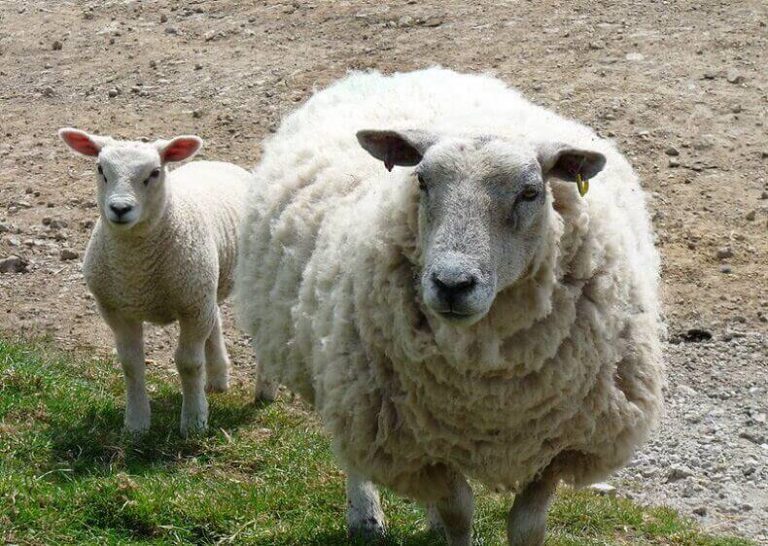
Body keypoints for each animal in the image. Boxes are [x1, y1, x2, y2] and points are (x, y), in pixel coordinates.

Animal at [59, 128, 260, 436]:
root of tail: (217, 162)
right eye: (100, 169)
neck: (136, 269)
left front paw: (194, 421)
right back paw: (217, 379)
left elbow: (189, 364)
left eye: (154, 172)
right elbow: (131, 364)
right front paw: (136, 424)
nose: (120, 208)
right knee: (214, 320)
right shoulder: (117, 310)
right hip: (204, 286)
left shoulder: (192, 307)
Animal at [234, 68, 664, 545]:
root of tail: (396, 74)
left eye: (531, 192)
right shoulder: (412, 441)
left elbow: (527, 526)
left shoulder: (561, 443)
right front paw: (445, 526)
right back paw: (365, 515)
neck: (491, 387)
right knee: (357, 455)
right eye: (421, 181)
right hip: (348, 384)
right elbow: (459, 512)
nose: (452, 284)